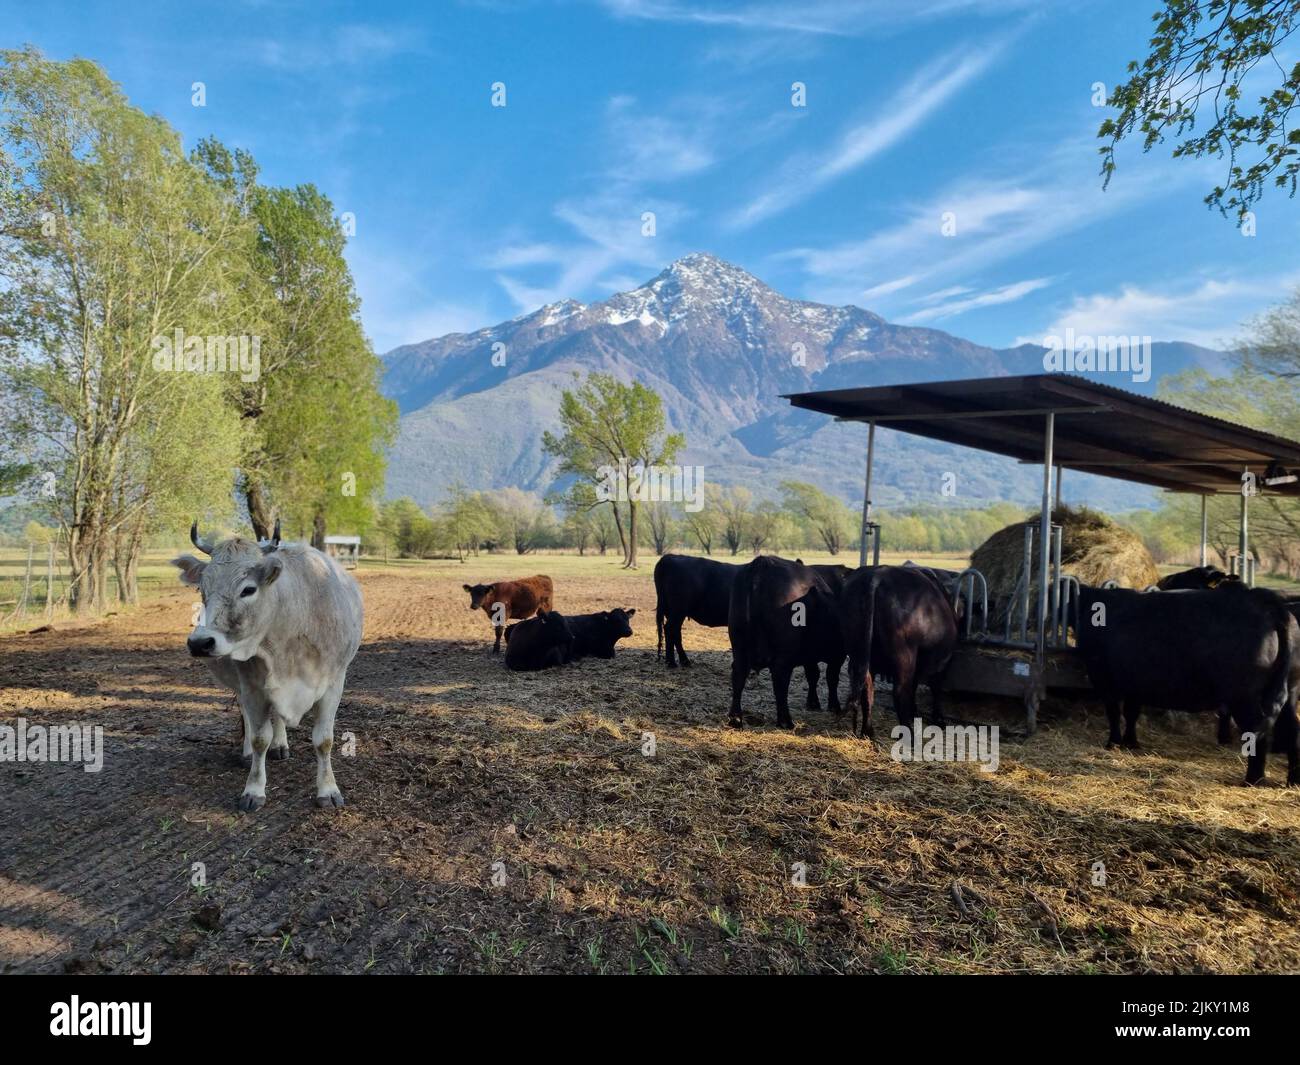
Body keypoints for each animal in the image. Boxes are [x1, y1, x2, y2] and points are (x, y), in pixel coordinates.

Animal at [172, 521, 363, 810]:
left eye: (248, 589)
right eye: (202, 590)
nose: (200, 643)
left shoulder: (333, 682)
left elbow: (324, 740)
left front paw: (328, 790)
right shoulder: (252, 685)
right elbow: (260, 738)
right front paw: (254, 789)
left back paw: (281, 745)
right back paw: (249, 753)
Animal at [727, 555, 845, 729]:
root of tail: (763, 563)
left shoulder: (810, 656)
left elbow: (813, 675)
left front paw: (813, 703)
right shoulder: (837, 655)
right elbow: (831, 677)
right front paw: (834, 706)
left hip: (739, 646)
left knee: (739, 675)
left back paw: (736, 719)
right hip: (783, 656)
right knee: (780, 680)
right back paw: (786, 721)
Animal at [839, 565, 959, 739]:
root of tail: (878, 575)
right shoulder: (942, 661)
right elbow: (936, 689)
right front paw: (938, 719)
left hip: (858, 653)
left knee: (867, 690)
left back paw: (868, 731)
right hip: (904, 656)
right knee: (900, 692)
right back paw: (909, 735)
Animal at [1072, 584, 1300, 785]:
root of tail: (1266, 601)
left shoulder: (1103, 678)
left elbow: (1113, 713)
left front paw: (1113, 743)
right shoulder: (1134, 685)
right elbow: (1131, 713)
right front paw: (1131, 742)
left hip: (1246, 696)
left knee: (1256, 732)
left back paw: (1253, 780)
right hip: (1291, 690)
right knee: (1292, 729)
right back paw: (1293, 781)